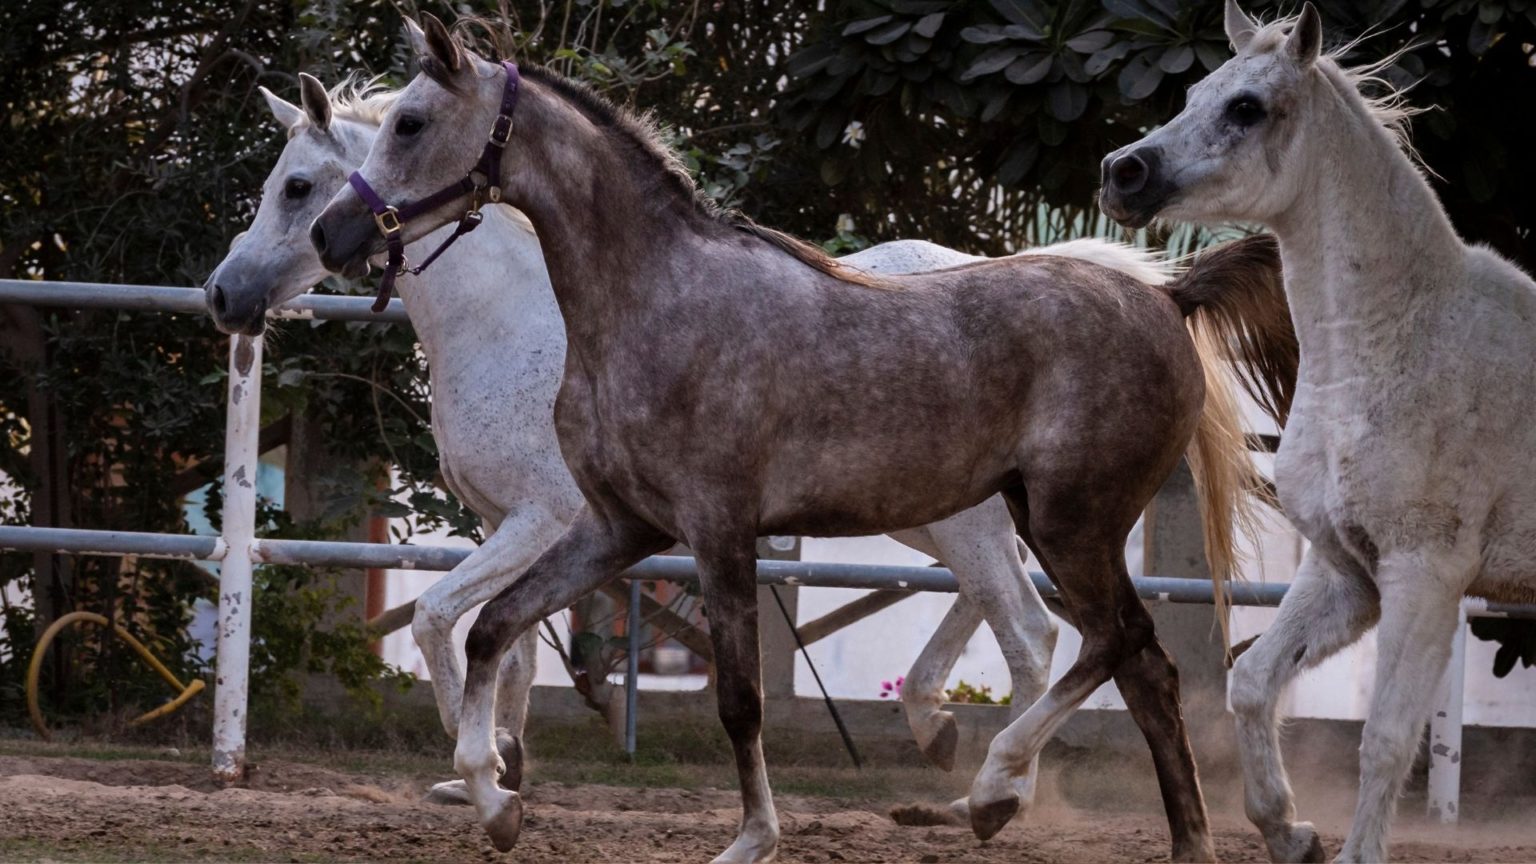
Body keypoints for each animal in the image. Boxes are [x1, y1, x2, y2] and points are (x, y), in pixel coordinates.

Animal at [310, 17, 1280, 862]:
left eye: (409, 122)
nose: (331, 232)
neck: (654, 301)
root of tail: (1166, 297)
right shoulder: (618, 527)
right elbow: (491, 629)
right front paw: (496, 803)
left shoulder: (718, 530)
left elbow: (741, 701)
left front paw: (750, 841)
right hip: (1044, 521)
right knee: (1148, 672)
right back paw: (1179, 841)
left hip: (1072, 522)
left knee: (1116, 642)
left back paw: (992, 789)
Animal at [1100, 3, 1536, 860]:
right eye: (1195, 92)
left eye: (1247, 108)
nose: (1121, 173)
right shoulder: (1346, 574)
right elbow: (1251, 682)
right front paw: (1289, 830)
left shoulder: (1424, 578)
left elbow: (1387, 737)